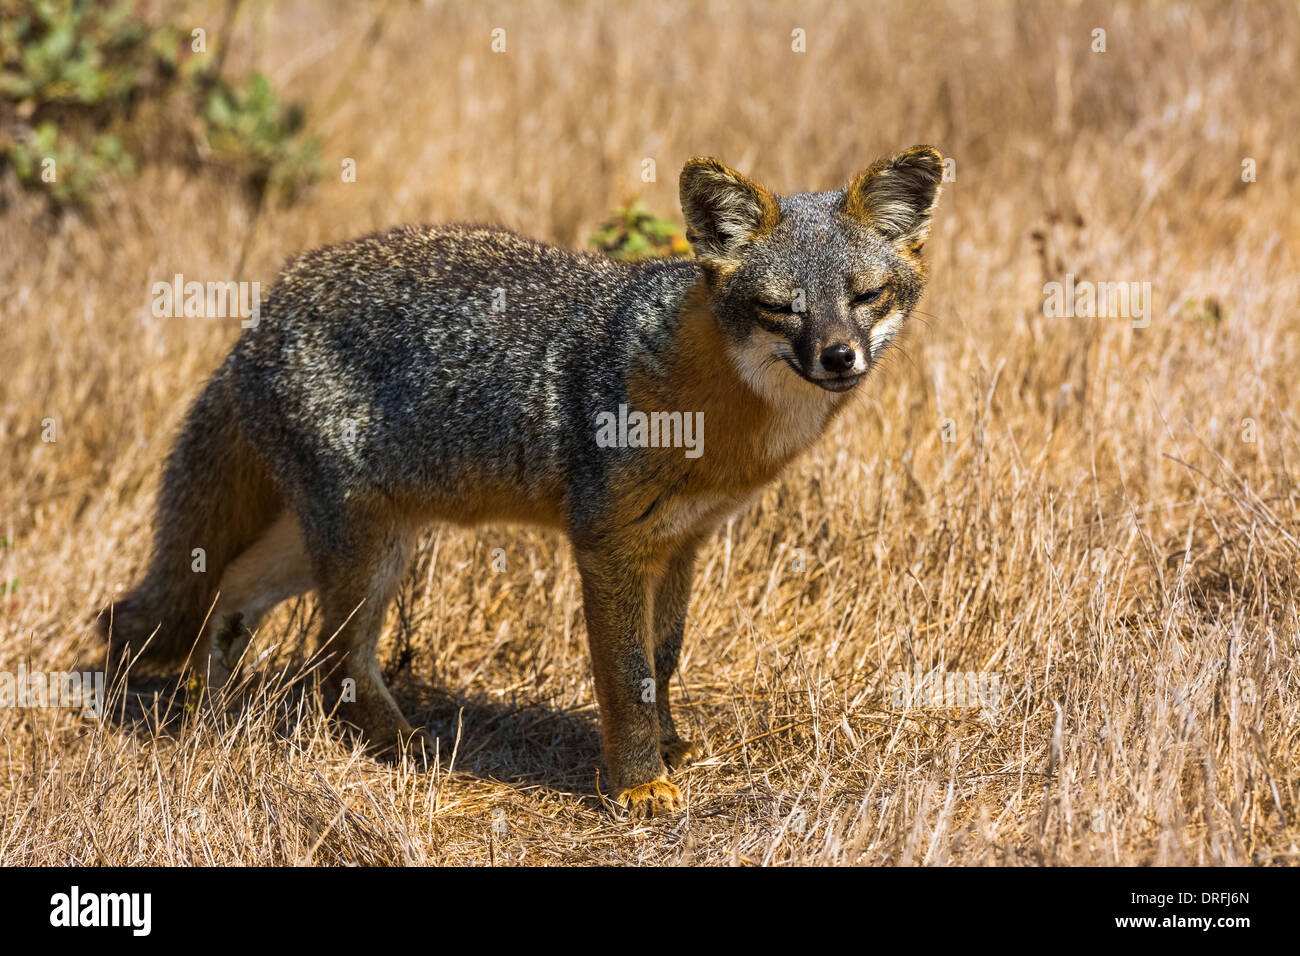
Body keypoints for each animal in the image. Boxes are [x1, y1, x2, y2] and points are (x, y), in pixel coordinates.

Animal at [100, 146, 943, 818]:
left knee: (228, 599)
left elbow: (663, 659)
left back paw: (211, 725)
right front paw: (638, 783)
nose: (839, 357)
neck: (712, 410)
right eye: (780, 309)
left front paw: (668, 744)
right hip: (365, 551)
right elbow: (626, 675)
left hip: (325, 547)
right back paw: (405, 745)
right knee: (332, 658)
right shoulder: (606, 546)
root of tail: (262, 313)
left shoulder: (679, 543)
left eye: (865, 297)